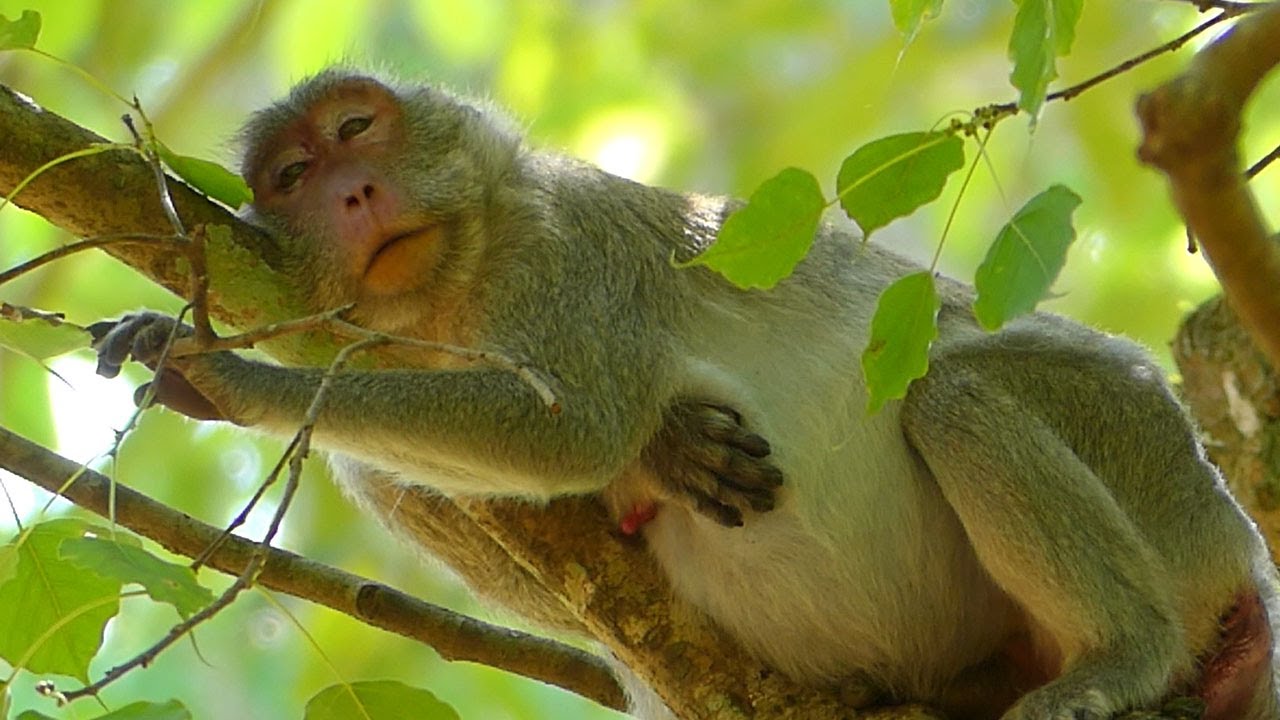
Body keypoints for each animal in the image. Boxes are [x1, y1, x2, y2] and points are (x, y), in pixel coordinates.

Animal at [90, 69, 1280, 719]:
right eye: (292, 179)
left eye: (352, 130)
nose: (352, 188)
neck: (446, 310)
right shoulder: (378, 445)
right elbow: (521, 552)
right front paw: (662, 454)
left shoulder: (563, 249)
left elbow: (574, 430)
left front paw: (236, 377)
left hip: (1157, 465)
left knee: (955, 397)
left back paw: (1120, 656)